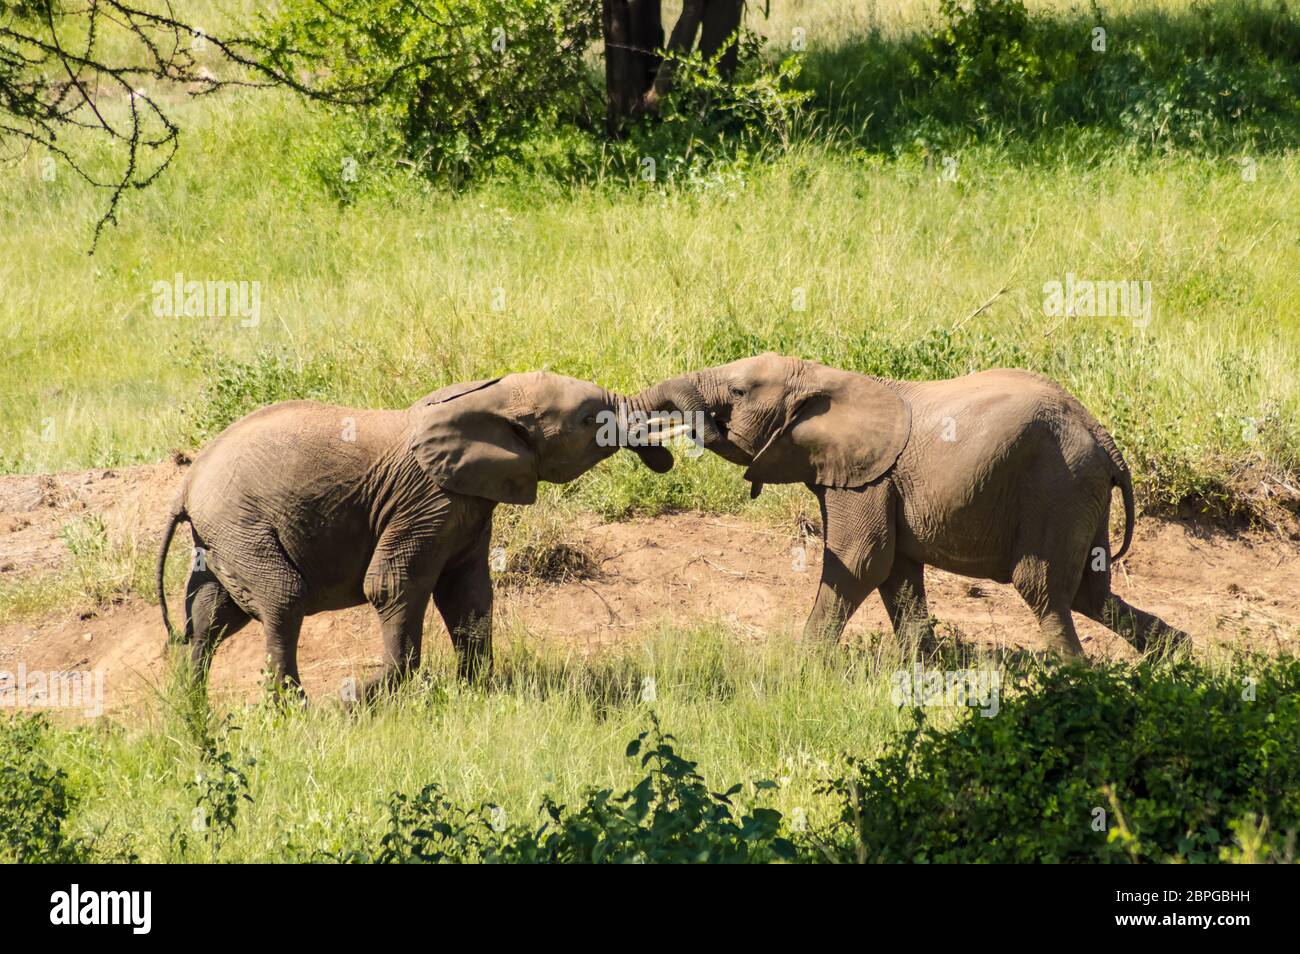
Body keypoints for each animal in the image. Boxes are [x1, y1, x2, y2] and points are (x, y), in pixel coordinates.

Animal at [156, 372, 673, 700]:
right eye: (589, 420)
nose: (663, 452)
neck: (489, 396)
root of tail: (186, 482)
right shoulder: (427, 499)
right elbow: (390, 585)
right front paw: (356, 701)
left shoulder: (467, 504)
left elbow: (468, 594)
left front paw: (477, 693)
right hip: (240, 524)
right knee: (282, 599)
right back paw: (293, 711)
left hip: (224, 536)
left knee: (209, 618)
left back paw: (191, 711)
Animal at [633, 353, 1190, 658]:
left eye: (737, 391)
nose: (662, 449)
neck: (825, 376)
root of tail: (1104, 438)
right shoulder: (881, 486)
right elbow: (897, 572)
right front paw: (920, 670)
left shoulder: (867, 481)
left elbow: (861, 562)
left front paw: (799, 665)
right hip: (1079, 495)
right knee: (1089, 594)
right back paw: (1174, 656)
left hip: (1057, 487)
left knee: (1043, 587)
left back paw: (1074, 678)